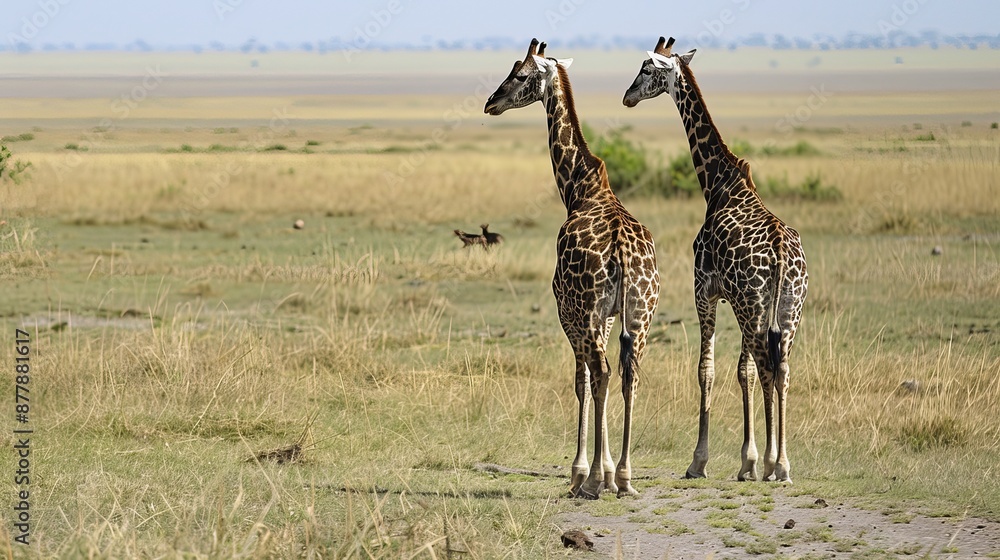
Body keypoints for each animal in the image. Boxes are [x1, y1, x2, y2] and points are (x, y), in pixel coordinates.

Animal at [485, 39, 660, 498]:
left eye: (520, 74)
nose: (491, 103)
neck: (579, 188)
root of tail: (622, 250)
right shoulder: (610, 315)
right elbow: (603, 381)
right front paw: (606, 470)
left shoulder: (569, 309)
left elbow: (581, 380)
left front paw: (582, 472)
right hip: (641, 313)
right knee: (629, 375)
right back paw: (625, 478)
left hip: (587, 308)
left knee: (600, 371)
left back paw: (596, 480)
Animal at [623, 37, 808, 482]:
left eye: (645, 68)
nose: (627, 96)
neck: (717, 183)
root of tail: (781, 254)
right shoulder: (734, 301)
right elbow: (741, 372)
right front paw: (746, 460)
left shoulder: (704, 291)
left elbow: (706, 370)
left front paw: (700, 461)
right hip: (786, 311)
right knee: (781, 370)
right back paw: (784, 464)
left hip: (753, 308)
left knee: (768, 367)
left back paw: (775, 464)